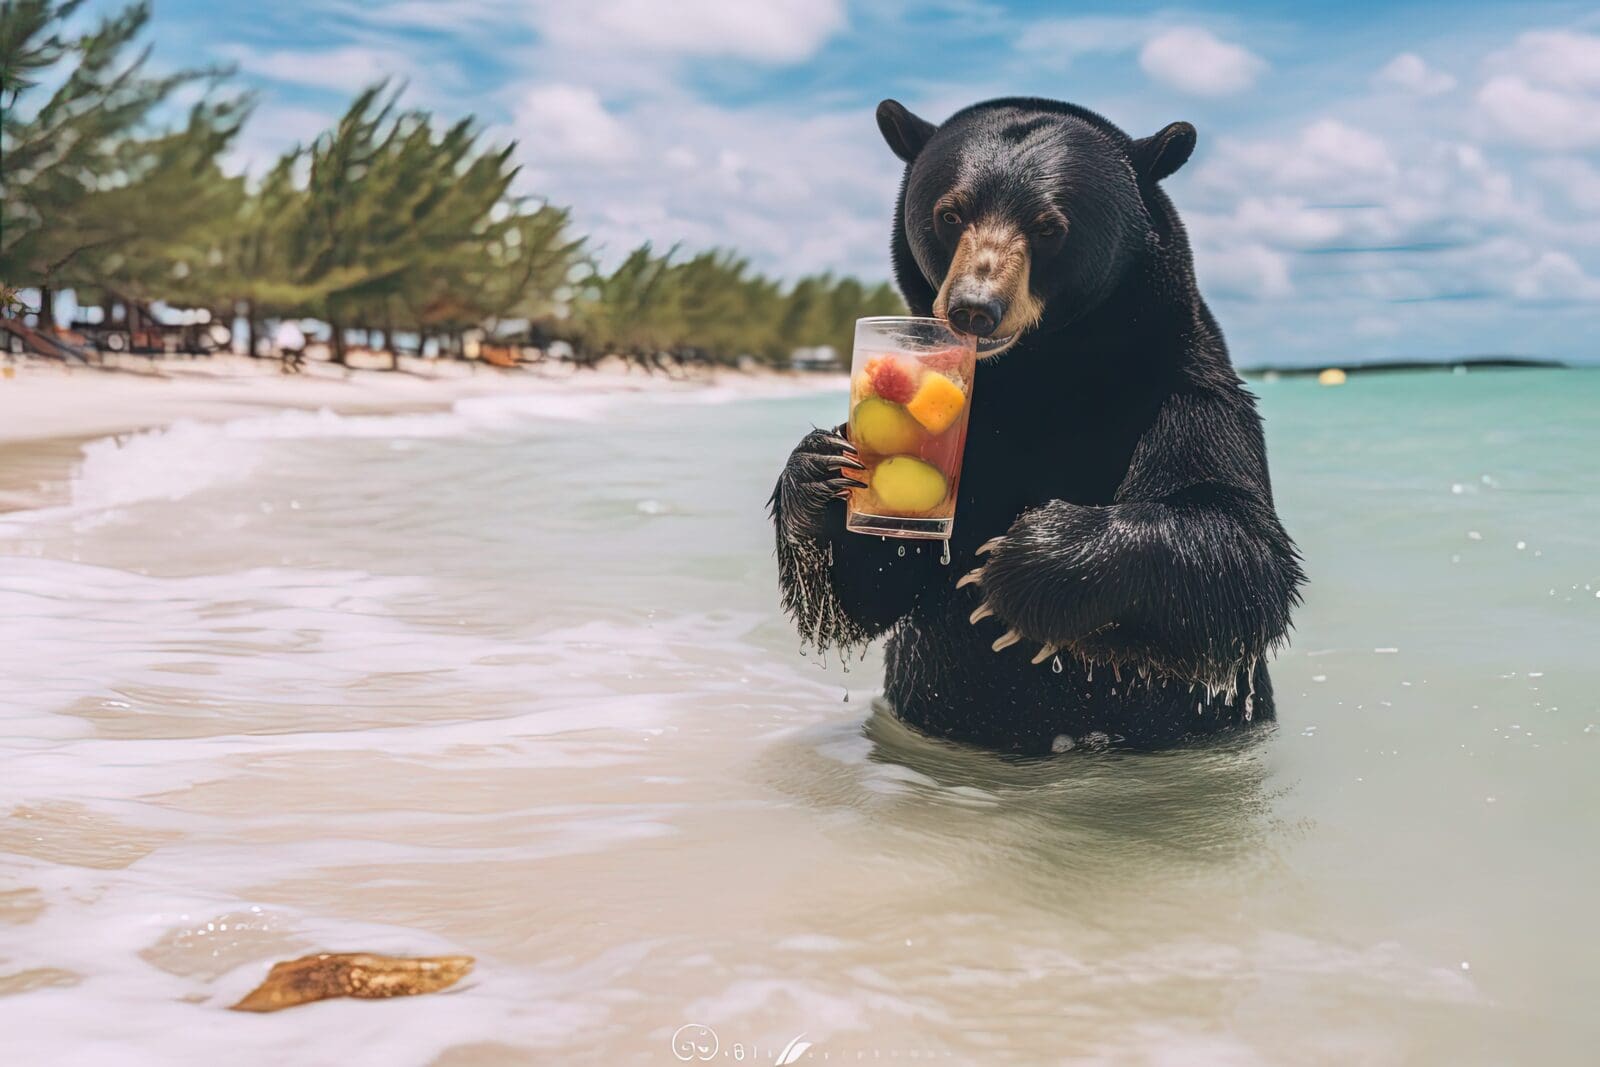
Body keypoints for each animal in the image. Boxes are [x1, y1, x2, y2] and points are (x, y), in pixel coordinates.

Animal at [769, 97, 1305, 753]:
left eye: (1050, 227)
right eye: (950, 213)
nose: (974, 308)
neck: (1042, 379)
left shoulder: (1189, 389)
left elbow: (1241, 547)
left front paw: (1012, 575)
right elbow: (867, 586)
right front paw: (819, 474)